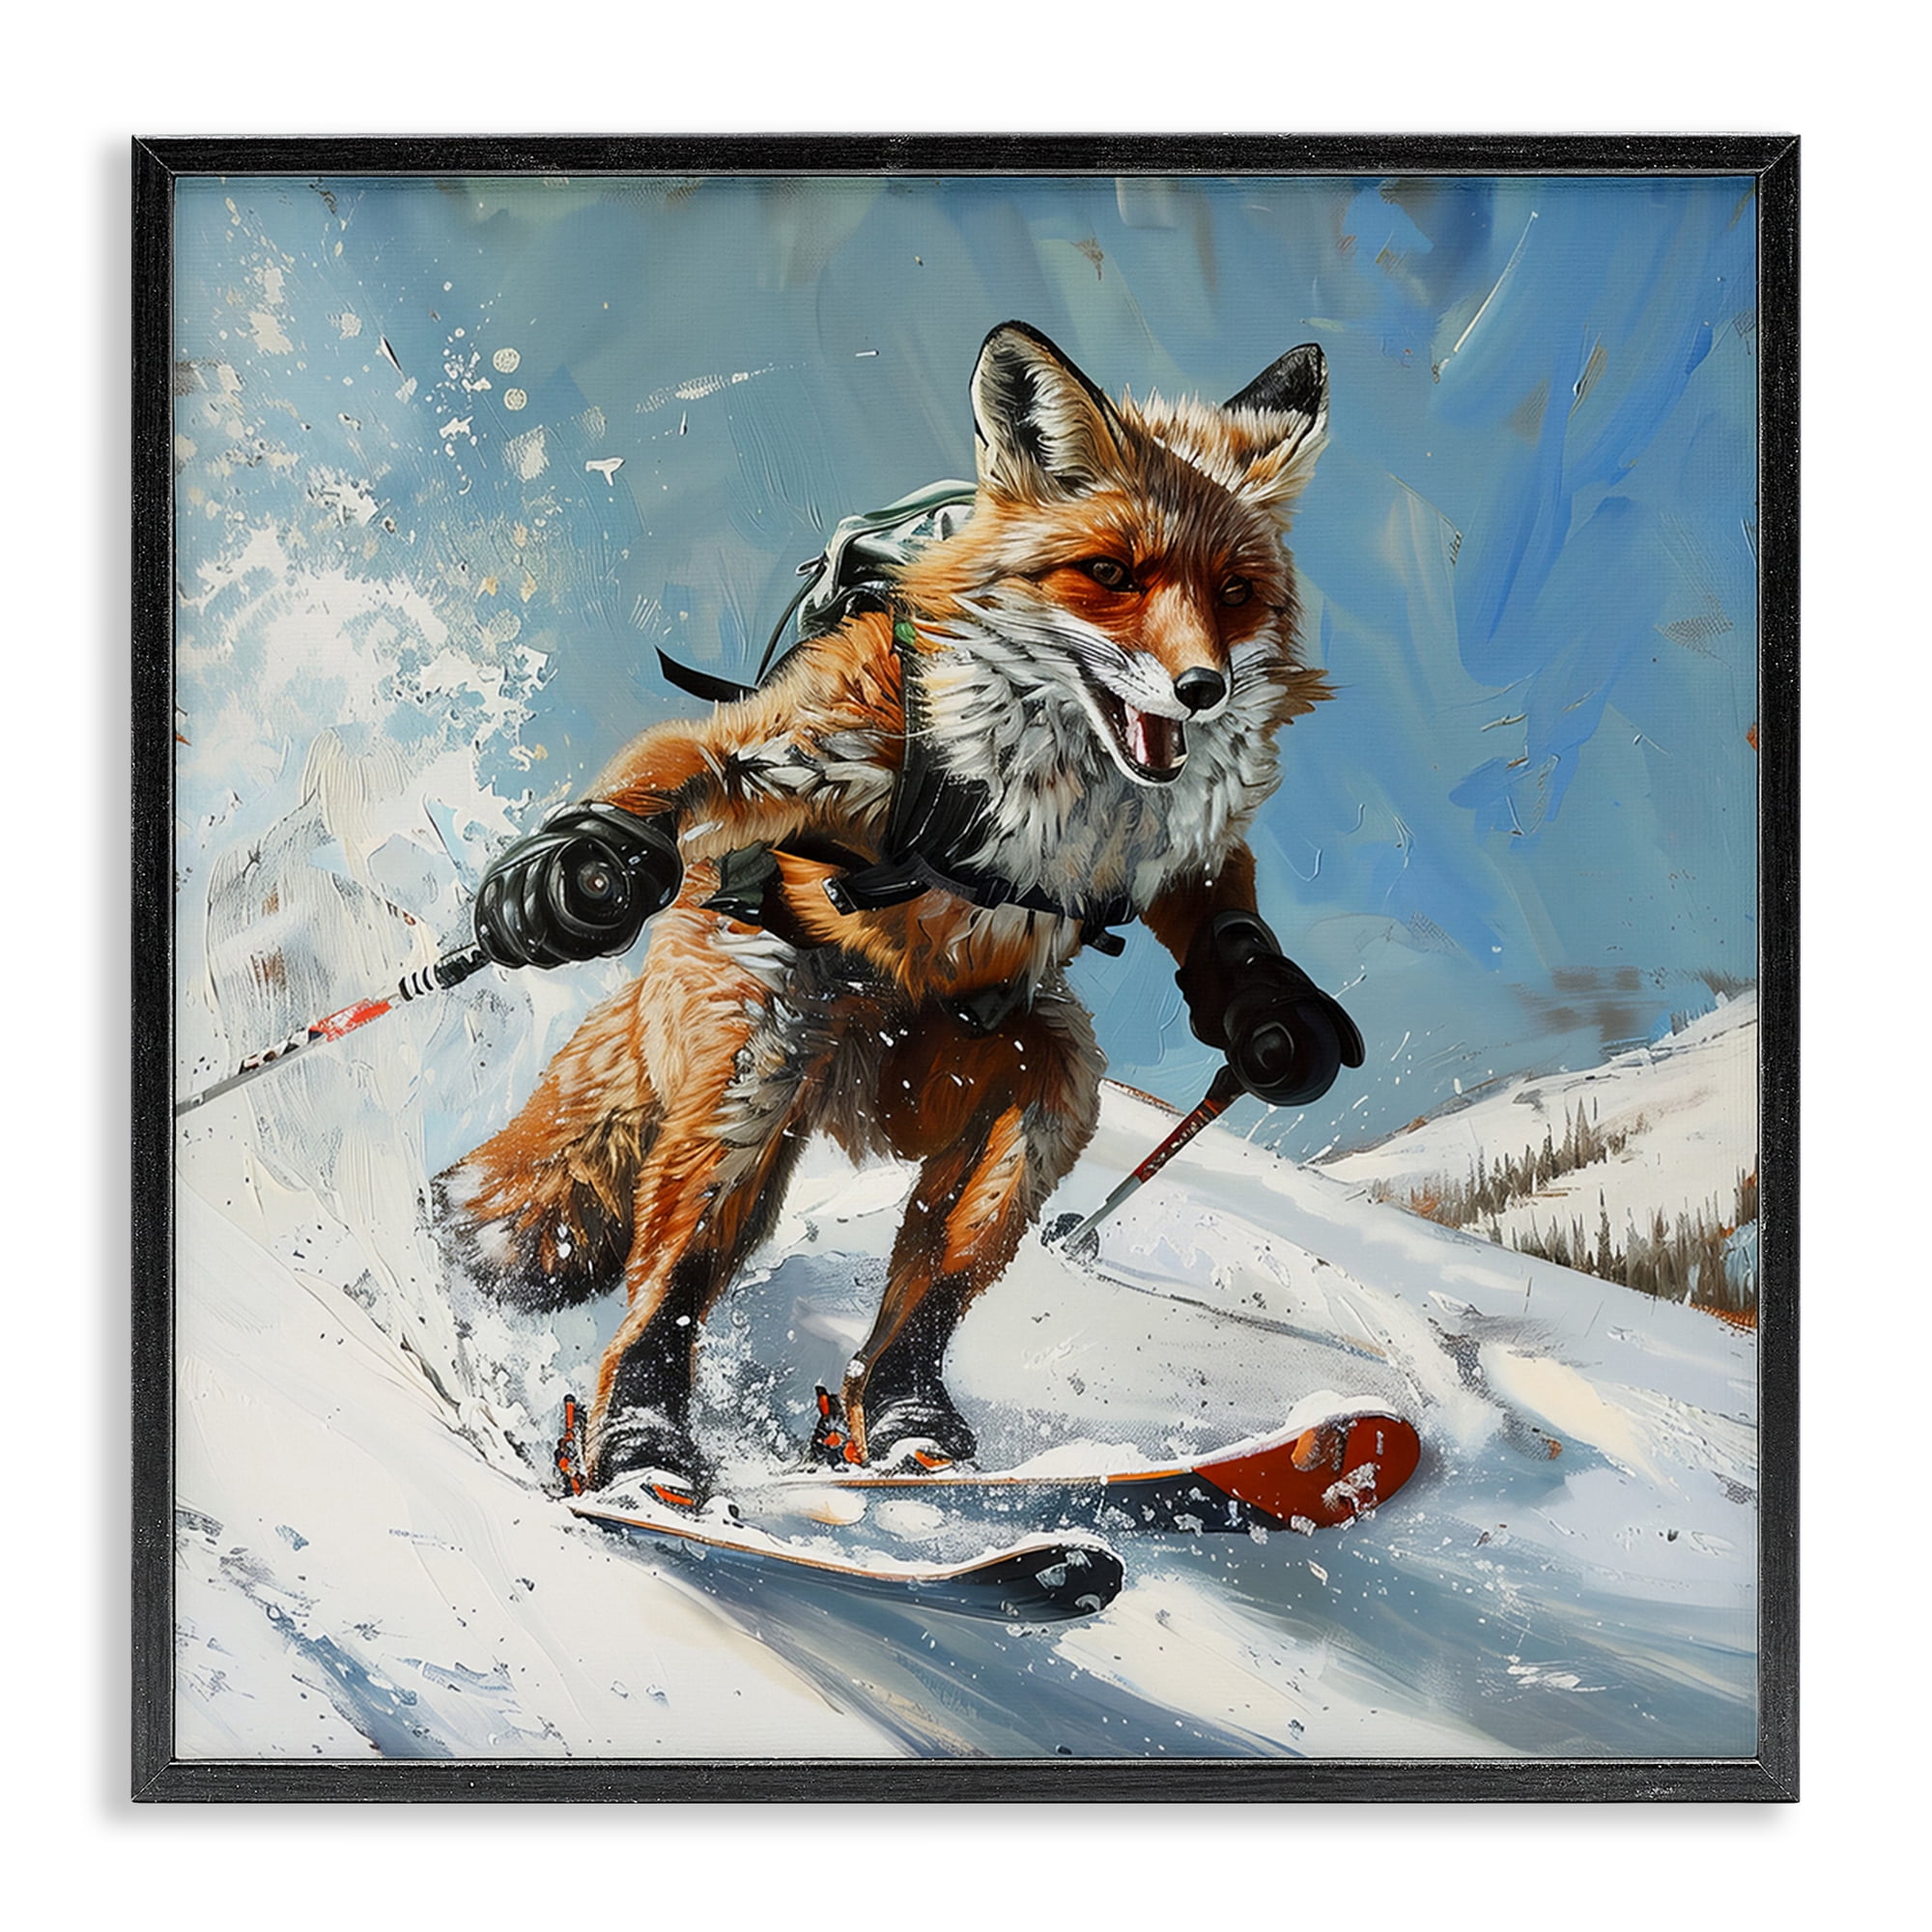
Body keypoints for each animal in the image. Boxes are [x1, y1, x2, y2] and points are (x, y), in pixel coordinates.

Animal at [436, 321, 1364, 1497]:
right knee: (677, 1266)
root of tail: (848, 1072)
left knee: (945, 1251)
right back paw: (642, 1445)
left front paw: (1269, 1016)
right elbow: (701, 759)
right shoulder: (842, 721)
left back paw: (901, 1421)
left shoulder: (1175, 857)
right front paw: (570, 870)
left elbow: (1207, 904)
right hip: (759, 1040)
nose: (1202, 689)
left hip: (1012, 1069)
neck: (1069, 794)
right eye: (1111, 574)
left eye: (1234, 590)